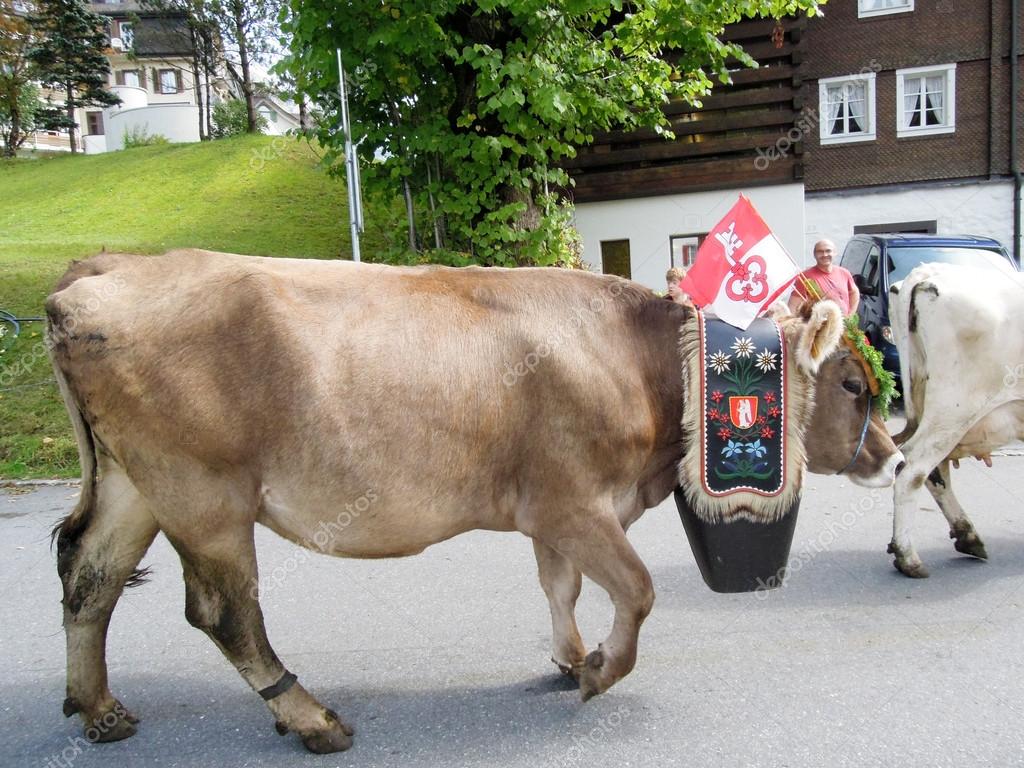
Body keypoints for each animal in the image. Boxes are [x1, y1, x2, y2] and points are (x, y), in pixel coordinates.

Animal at [46, 250, 902, 753]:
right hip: (204, 494)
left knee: (89, 576)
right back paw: (310, 718)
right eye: (853, 385)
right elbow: (636, 591)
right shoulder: (574, 503)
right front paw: (599, 672)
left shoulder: (550, 508)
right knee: (223, 613)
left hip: (134, 484)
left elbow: (561, 585)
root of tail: (103, 268)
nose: (894, 458)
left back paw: (97, 707)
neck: (639, 358)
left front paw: (569, 657)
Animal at [887, 262, 1024, 578]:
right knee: (913, 467)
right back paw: (908, 557)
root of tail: (925, 274)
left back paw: (967, 536)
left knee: (933, 470)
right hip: (954, 410)